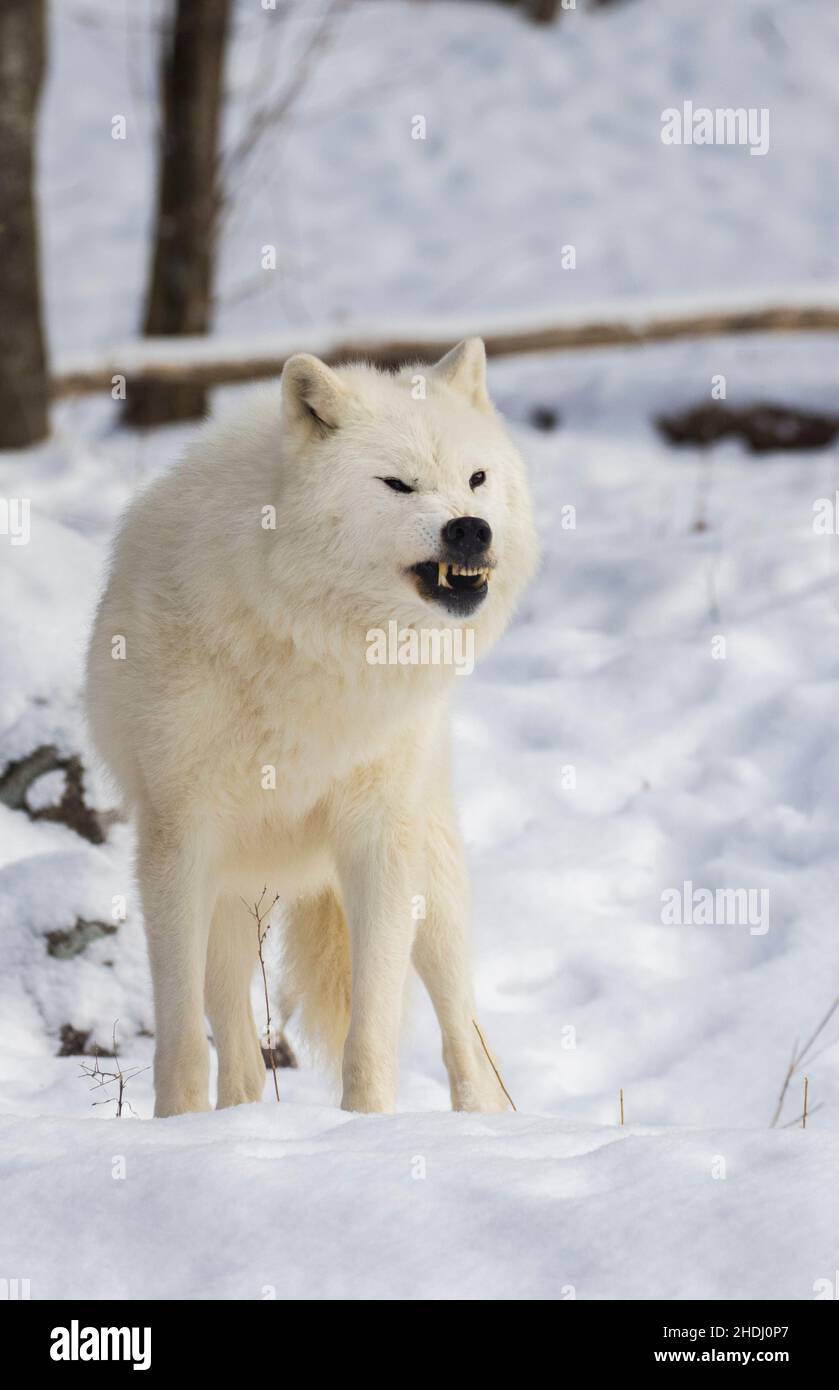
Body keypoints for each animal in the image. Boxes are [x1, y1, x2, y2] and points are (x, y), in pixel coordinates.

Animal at [86, 338, 537, 1116]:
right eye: (398, 485)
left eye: (475, 480)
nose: (469, 529)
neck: (318, 647)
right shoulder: (179, 842)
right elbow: (181, 1040)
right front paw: (177, 1128)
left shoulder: (379, 840)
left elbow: (373, 1028)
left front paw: (367, 1123)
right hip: (233, 902)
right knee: (235, 1040)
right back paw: (235, 1116)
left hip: (434, 884)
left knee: (462, 1029)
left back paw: (481, 1119)